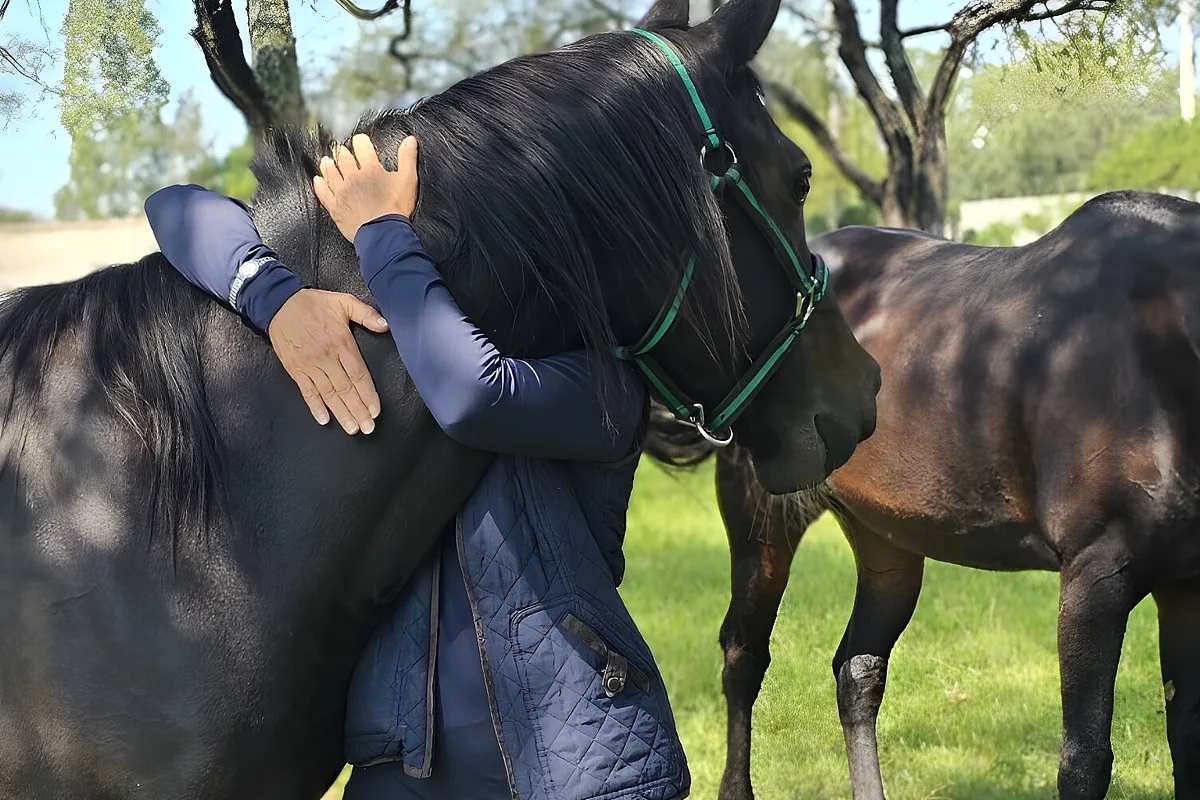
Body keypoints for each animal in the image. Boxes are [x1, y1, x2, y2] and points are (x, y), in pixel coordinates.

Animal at [646, 190, 1200, 800]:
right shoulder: (1095, 577)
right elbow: (1085, 762)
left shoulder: (1185, 587)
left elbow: (1187, 740)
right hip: (761, 525)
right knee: (744, 658)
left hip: (886, 545)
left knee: (857, 672)